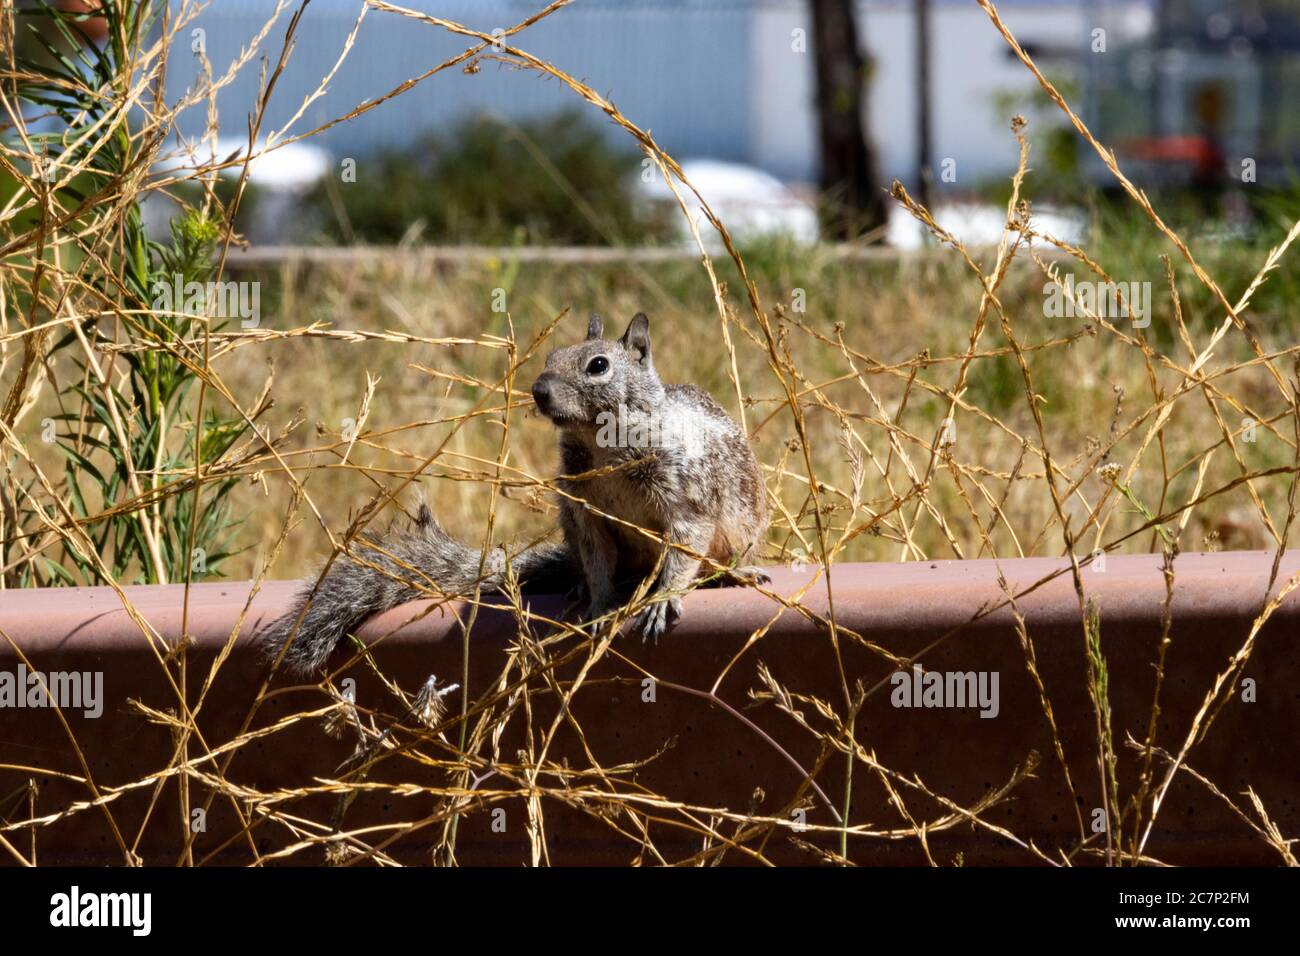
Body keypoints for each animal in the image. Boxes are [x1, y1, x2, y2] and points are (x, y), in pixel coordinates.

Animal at [263, 312, 770, 677]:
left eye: (598, 366)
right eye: (552, 355)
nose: (539, 391)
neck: (602, 444)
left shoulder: (685, 498)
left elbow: (684, 549)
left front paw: (661, 599)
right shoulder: (584, 515)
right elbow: (598, 558)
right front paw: (600, 601)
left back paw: (735, 573)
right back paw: (578, 584)